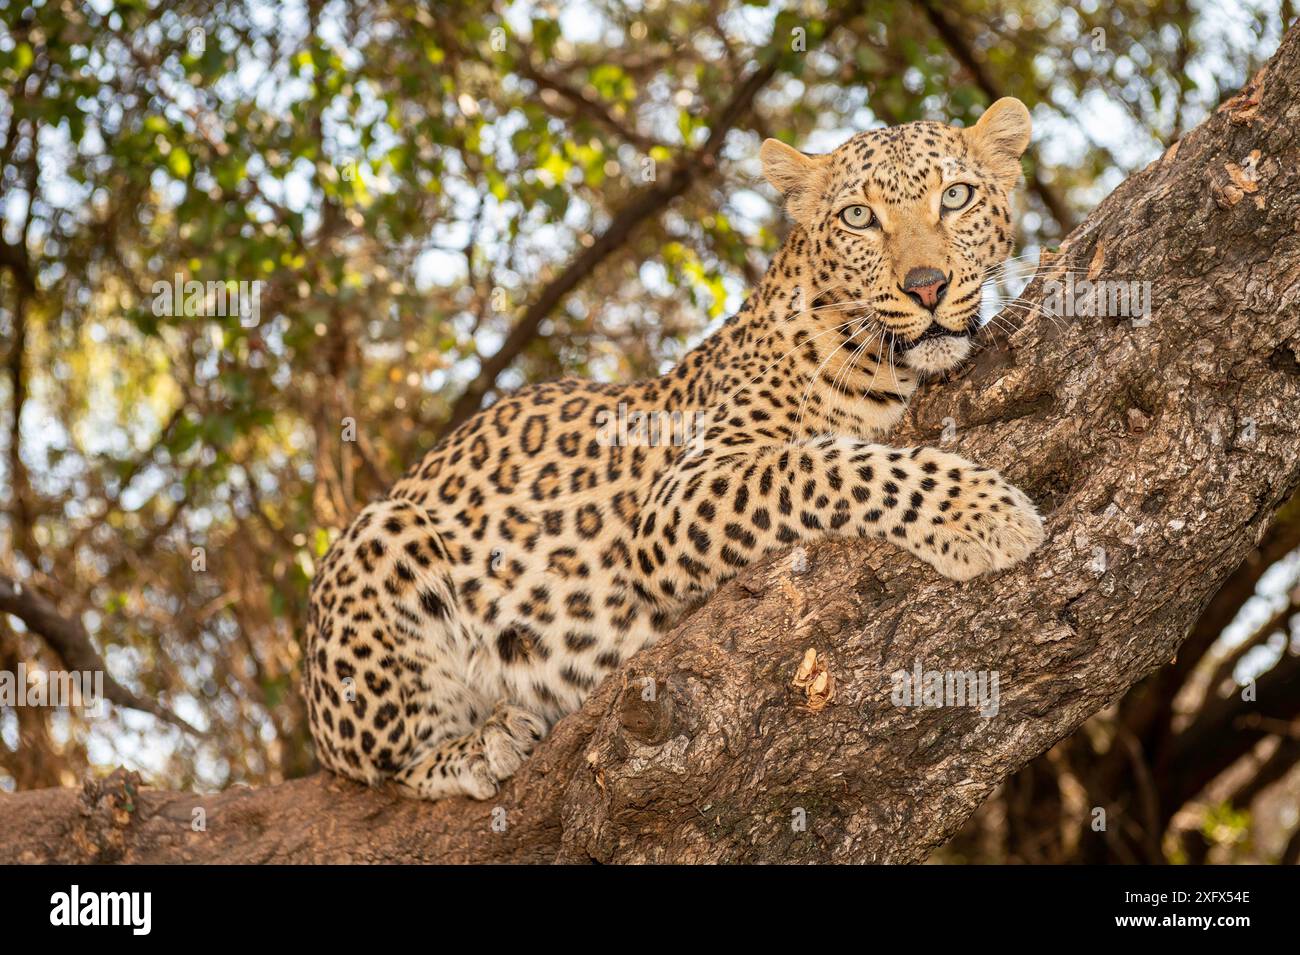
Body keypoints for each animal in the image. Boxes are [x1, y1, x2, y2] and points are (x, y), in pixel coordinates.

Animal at [303, 98, 1047, 801]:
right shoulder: (680, 498)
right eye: (859, 217)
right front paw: (981, 513)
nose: (927, 286)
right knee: (382, 766)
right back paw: (480, 744)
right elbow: (828, 462)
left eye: (956, 196)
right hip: (382, 539)